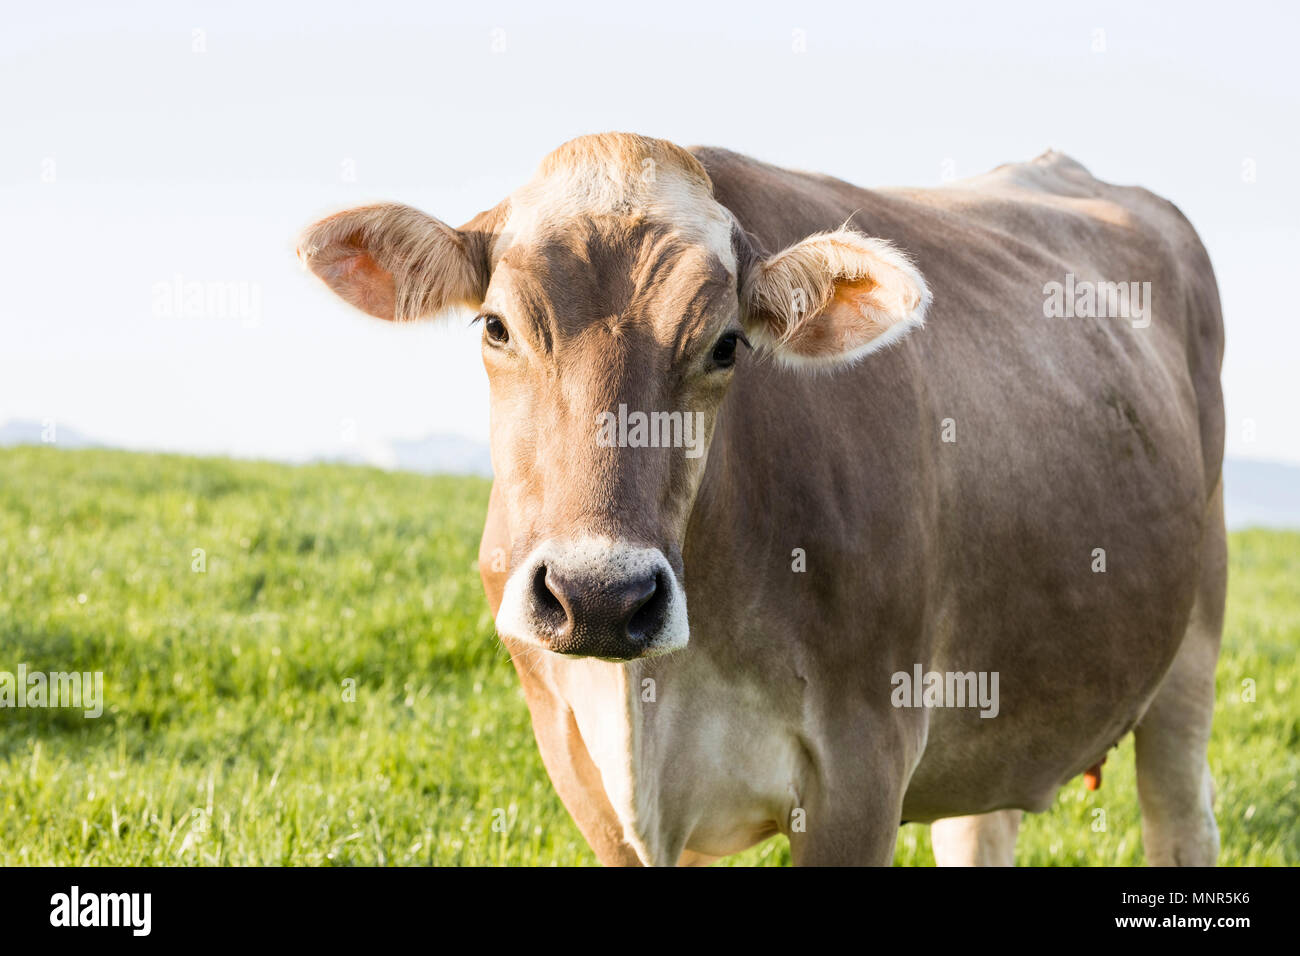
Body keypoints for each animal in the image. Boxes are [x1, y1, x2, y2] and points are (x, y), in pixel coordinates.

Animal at [299, 133, 1225, 866]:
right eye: (495, 327)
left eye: (725, 344)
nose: (600, 596)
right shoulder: (583, 770)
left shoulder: (862, 767)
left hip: (1193, 644)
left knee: (1180, 815)